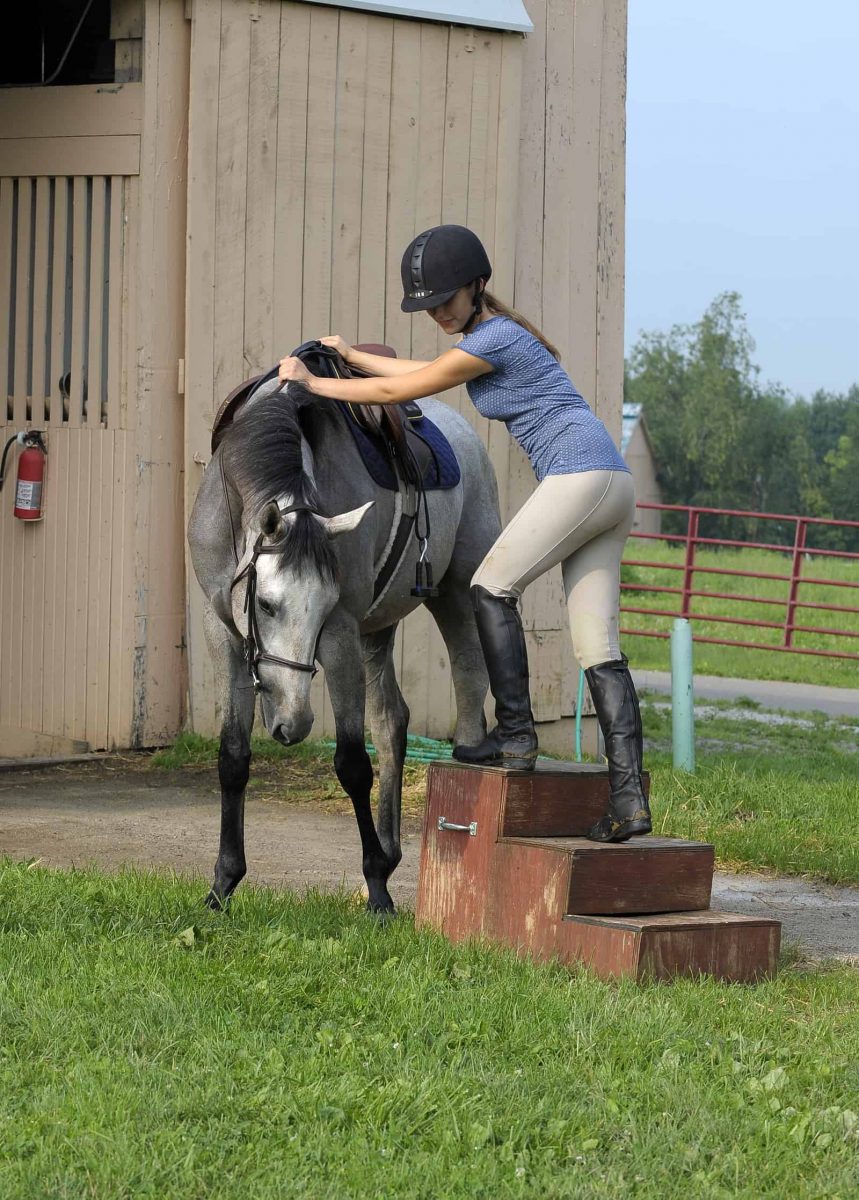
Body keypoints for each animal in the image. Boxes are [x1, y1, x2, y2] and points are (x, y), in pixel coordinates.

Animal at [187, 373, 502, 913]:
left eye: (322, 608)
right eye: (265, 604)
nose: (295, 723)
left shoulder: (339, 632)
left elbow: (353, 764)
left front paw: (377, 890)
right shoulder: (221, 629)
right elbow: (233, 757)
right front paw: (223, 884)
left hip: (456, 593)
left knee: (467, 674)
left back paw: (468, 758)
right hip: (377, 631)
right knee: (392, 722)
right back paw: (391, 849)